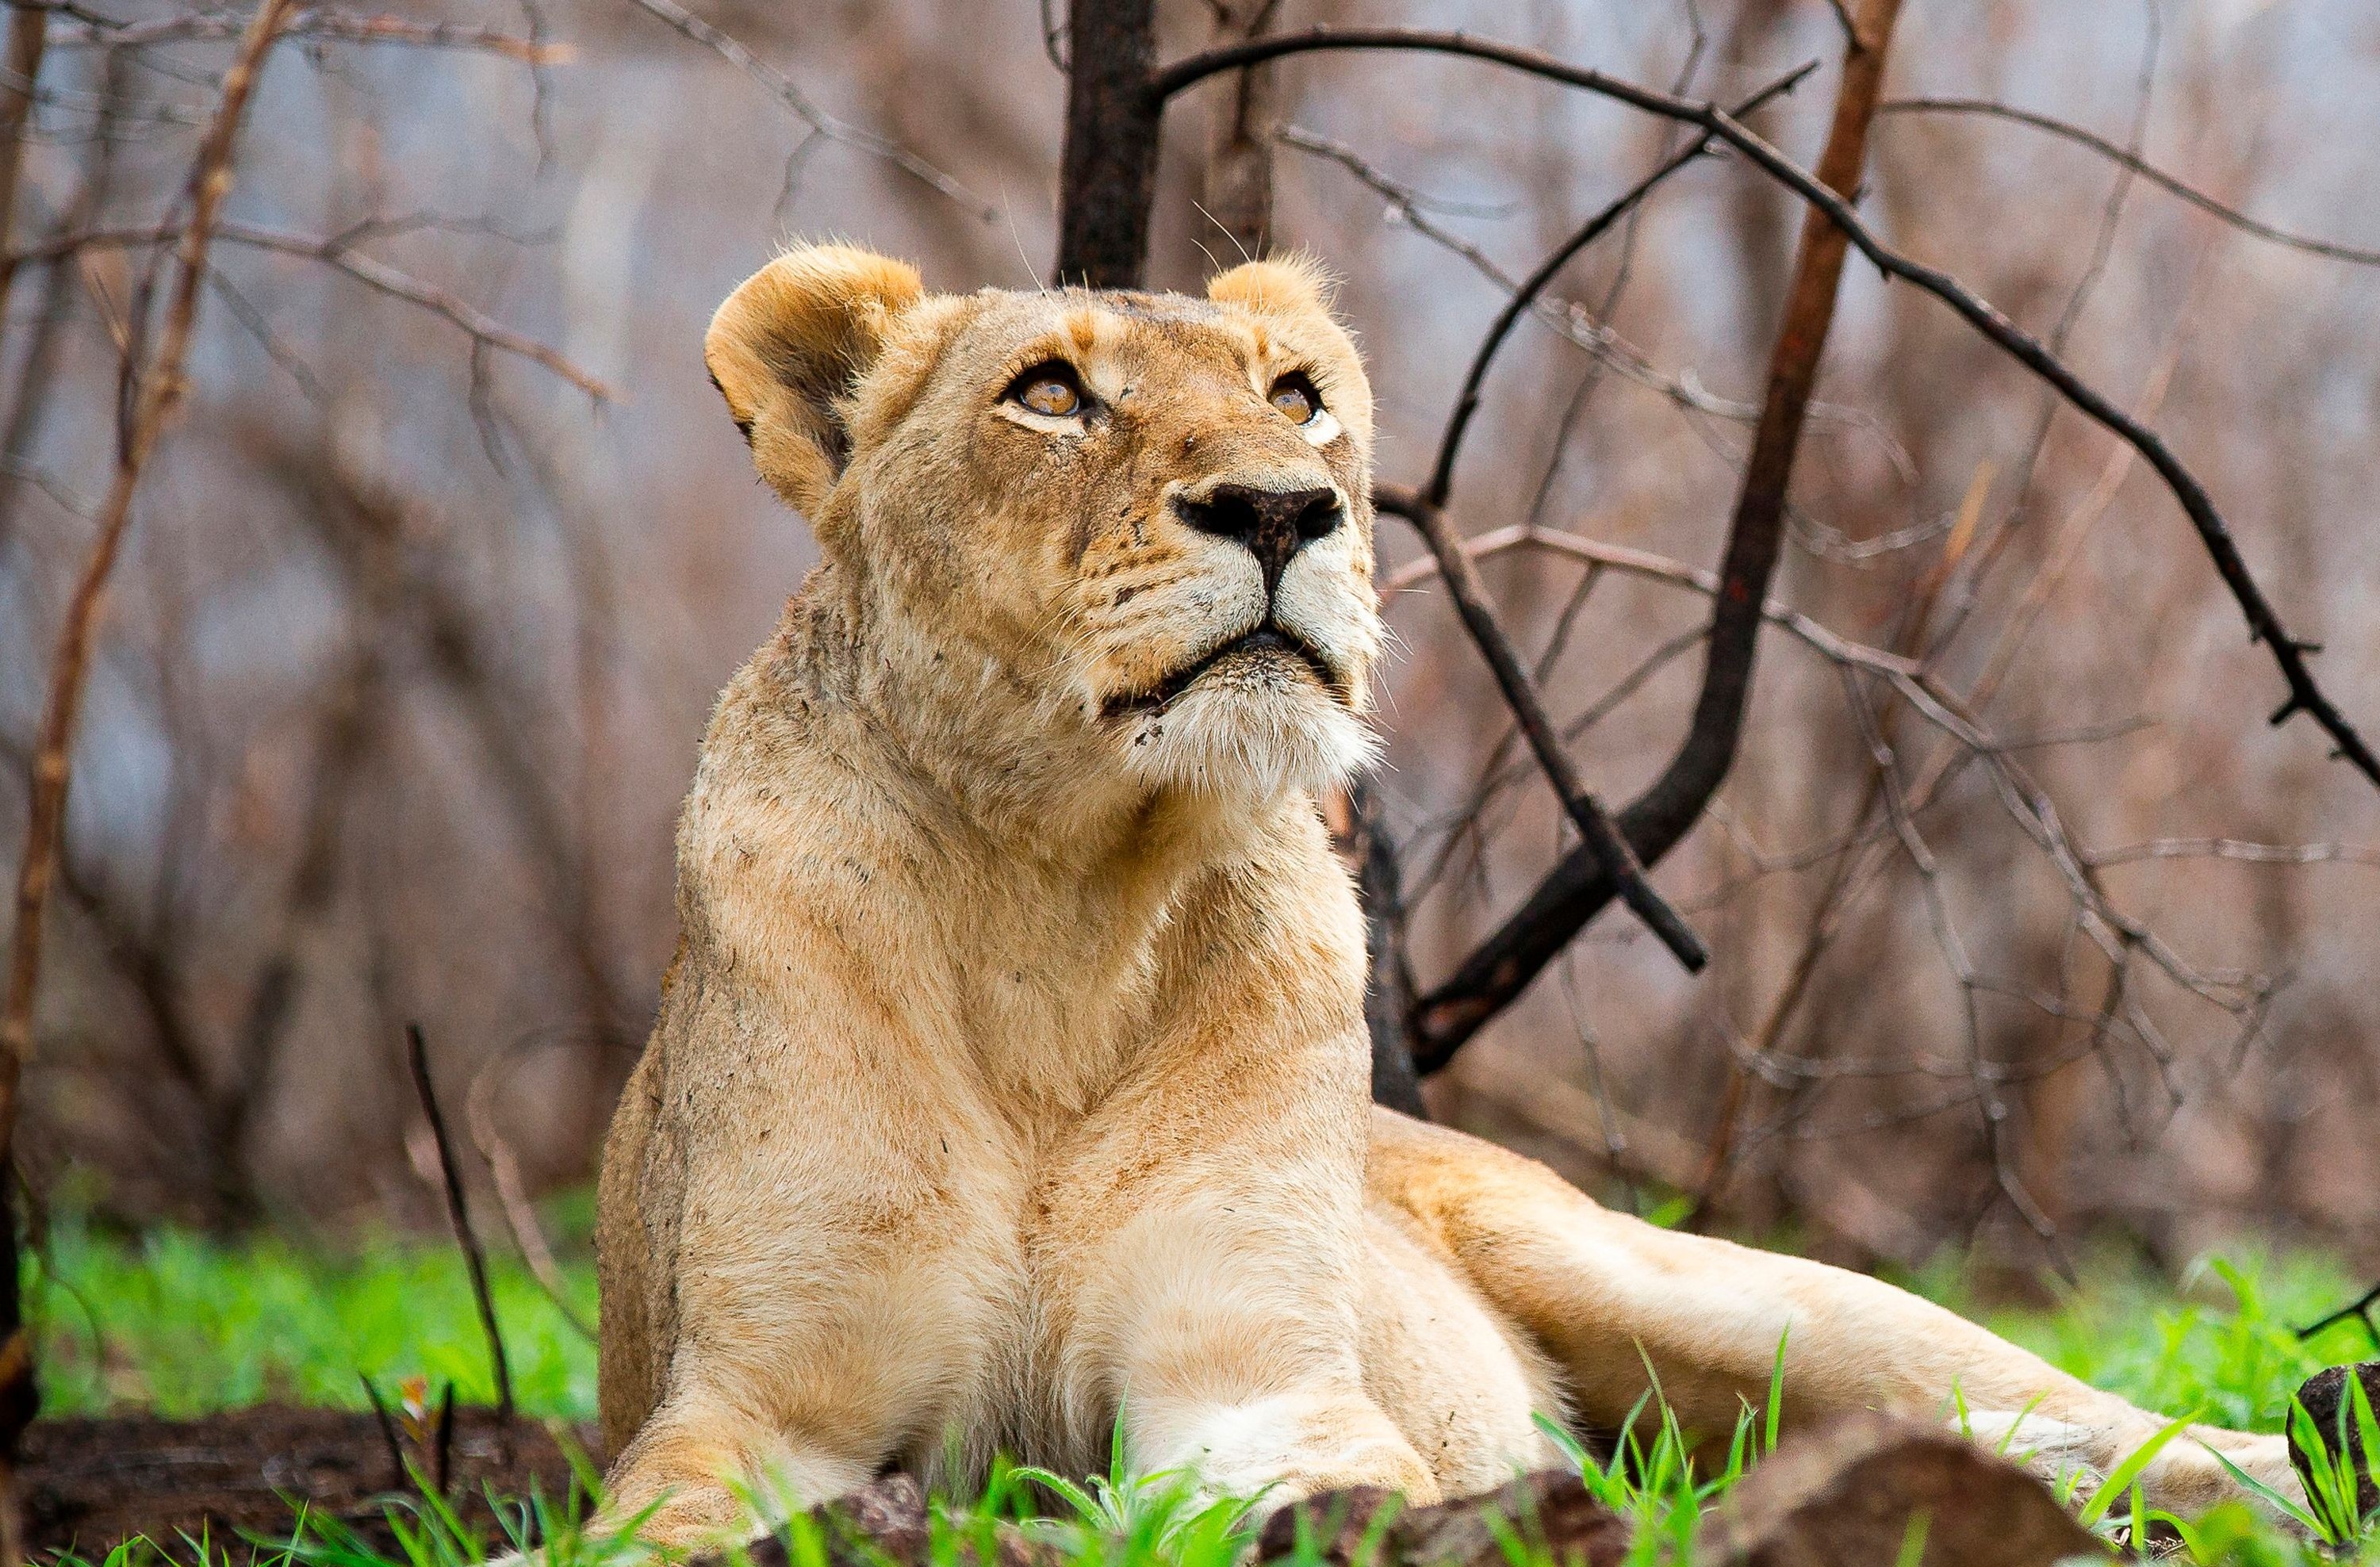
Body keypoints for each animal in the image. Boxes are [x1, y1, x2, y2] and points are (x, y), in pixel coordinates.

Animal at [592, 242, 2308, 1546]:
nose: (1286, 508)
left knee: (2089, 1415)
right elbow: (678, 1524)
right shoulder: (755, 1413)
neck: (1059, 905)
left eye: (1296, 398)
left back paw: (2284, 1463)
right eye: (1053, 393)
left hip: (1710, 1290)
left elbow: (1339, 1490)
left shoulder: (1259, 1378)